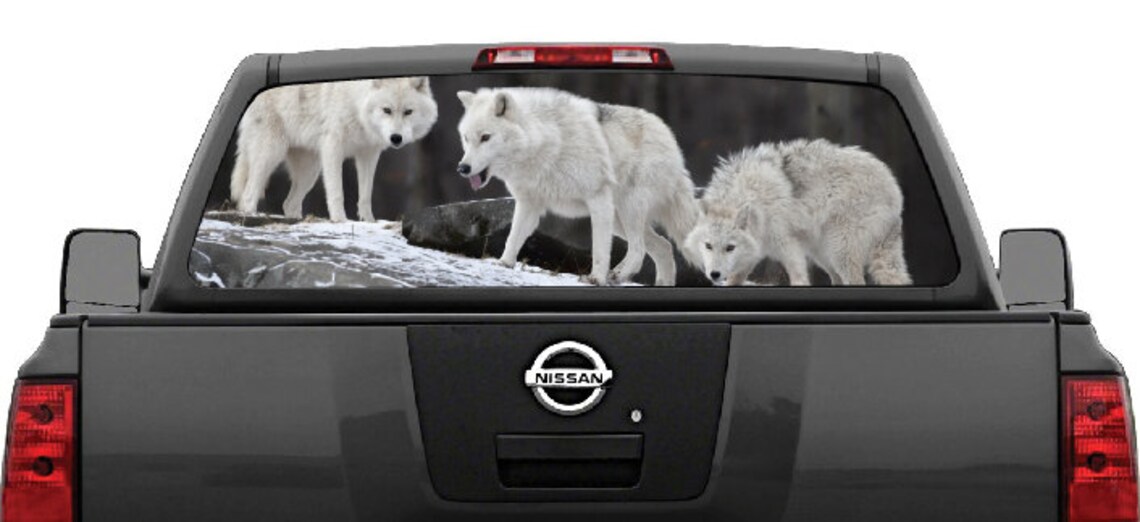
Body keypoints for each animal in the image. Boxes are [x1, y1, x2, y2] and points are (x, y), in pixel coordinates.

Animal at [230, 77, 438, 222]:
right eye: (386, 110)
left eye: (408, 112)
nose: (396, 138)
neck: (356, 102)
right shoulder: (333, 147)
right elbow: (337, 192)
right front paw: (340, 220)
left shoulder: (368, 154)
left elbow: (365, 195)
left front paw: (368, 221)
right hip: (271, 153)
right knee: (248, 195)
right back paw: (250, 216)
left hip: (310, 171)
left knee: (289, 203)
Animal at [455, 87, 699, 286]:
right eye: (466, 138)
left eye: (485, 137)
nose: (462, 168)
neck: (547, 142)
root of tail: (669, 136)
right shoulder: (529, 204)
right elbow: (513, 237)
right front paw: (504, 263)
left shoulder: (597, 198)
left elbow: (599, 248)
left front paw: (596, 278)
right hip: (618, 220)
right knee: (663, 247)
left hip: (628, 209)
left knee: (639, 249)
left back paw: (617, 275)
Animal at [684, 139, 911, 286]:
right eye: (708, 246)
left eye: (729, 247)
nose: (714, 274)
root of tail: (894, 189)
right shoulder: (751, 256)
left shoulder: (788, 246)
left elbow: (799, 279)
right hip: (823, 255)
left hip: (839, 252)